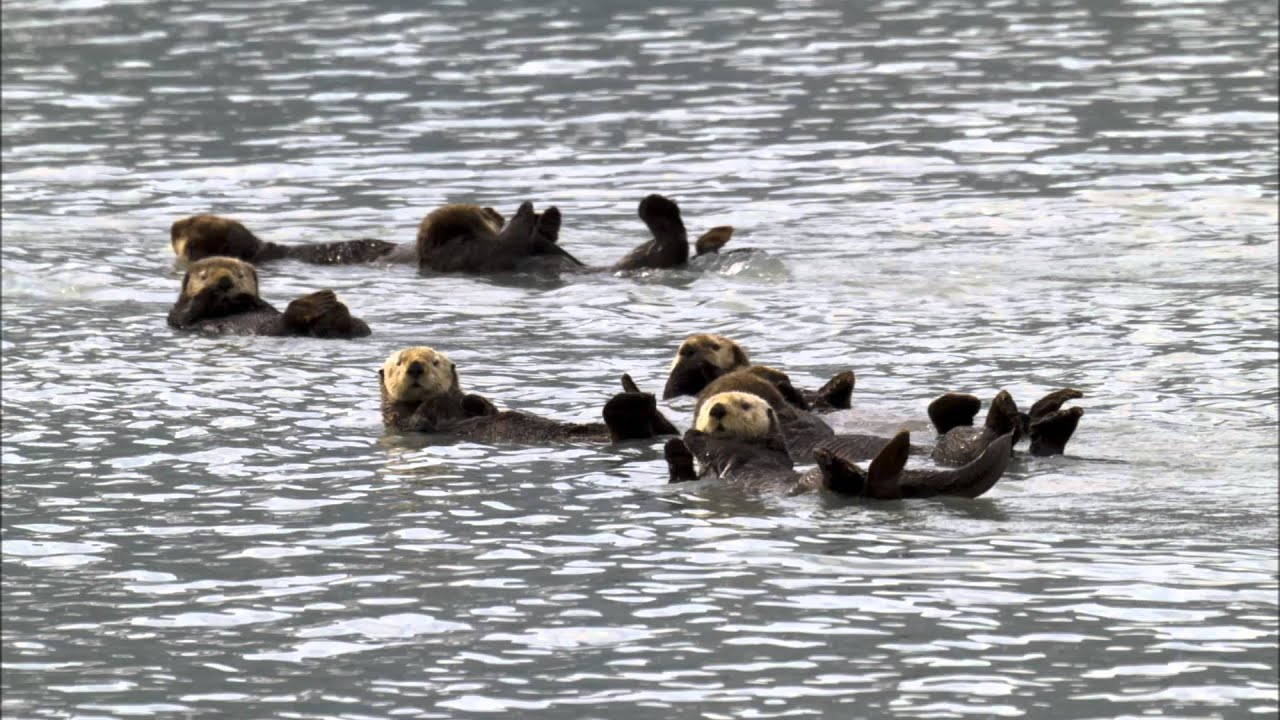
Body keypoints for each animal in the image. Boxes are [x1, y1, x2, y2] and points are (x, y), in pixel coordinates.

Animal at [167, 257, 371, 338]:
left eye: (240, 275)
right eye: (203, 276)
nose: (225, 281)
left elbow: (263, 305)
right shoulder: (178, 315)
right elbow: (188, 313)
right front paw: (212, 291)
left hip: (358, 327)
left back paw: (332, 306)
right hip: (275, 329)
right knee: (289, 318)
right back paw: (320, 302)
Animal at [379, 347, 678, 444]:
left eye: (434, 362)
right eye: (400, 362)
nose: (415, 367)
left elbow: (485, 407)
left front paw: (472, 400)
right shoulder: (402, 420)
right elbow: (420, 420)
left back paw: (633, 390)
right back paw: (629, 401)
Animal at [663, 391, 1013, 499]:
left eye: (744, 405)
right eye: (709, 406)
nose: (717, 411)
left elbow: (715, 447)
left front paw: (692, 438)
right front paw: (677, 446)